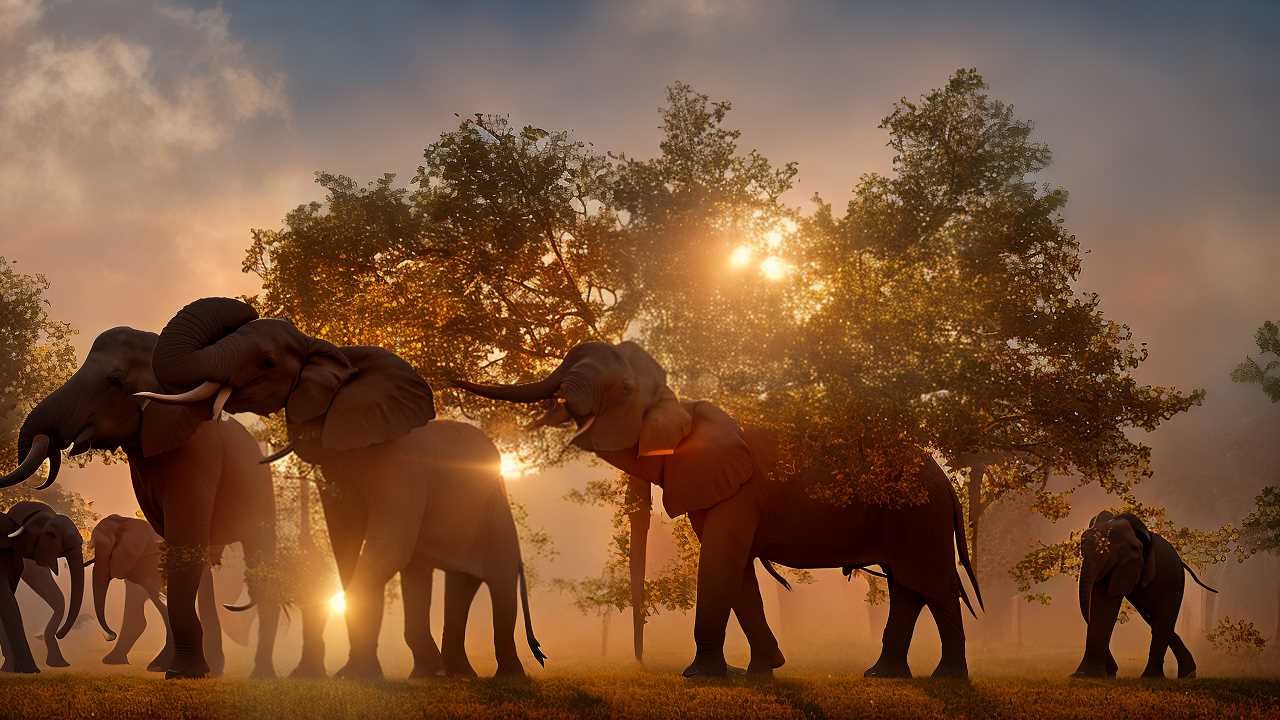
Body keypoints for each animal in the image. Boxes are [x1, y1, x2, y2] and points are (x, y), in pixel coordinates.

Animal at [89, 514, 226, 675]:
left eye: (108, 549)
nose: (110, 636)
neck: (125, 521)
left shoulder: (150, 561)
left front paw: (160, 666)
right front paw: (112, 661)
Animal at [141, 297, 545, 679]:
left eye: (268, 362)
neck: (336, 358)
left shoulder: (402, 468)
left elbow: (386, 546)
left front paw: (361, 674)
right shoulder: (333, 475)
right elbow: (347, 545)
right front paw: (356, 672)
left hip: (495, 510)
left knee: (496, 578)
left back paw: (504, 676)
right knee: (440, 578)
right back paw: (443, 673)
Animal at [454, 340, 982, 678]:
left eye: (623, 392)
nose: (640, 662)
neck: (682, 408)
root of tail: (947, 484)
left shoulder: (737, 491)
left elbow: (722, 562)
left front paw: (699, 675)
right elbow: (738, 570)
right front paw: (763, 670)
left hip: (919, 513)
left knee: (930, 584)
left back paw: (946, 678)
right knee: (909, 586)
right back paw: (883, 675)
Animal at [1072, 510, 1218, 679]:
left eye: (1104, 553)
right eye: (1081, 549)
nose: (1113, 670)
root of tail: (1180, 561)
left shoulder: (1127, 563)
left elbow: (1107, 602)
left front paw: (1088, 675)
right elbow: (1103, 602)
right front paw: (1085, 676)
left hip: (1173, 579)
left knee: (1161, 619)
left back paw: (1153, 677)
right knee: (1153, 618)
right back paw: (1188, 674)